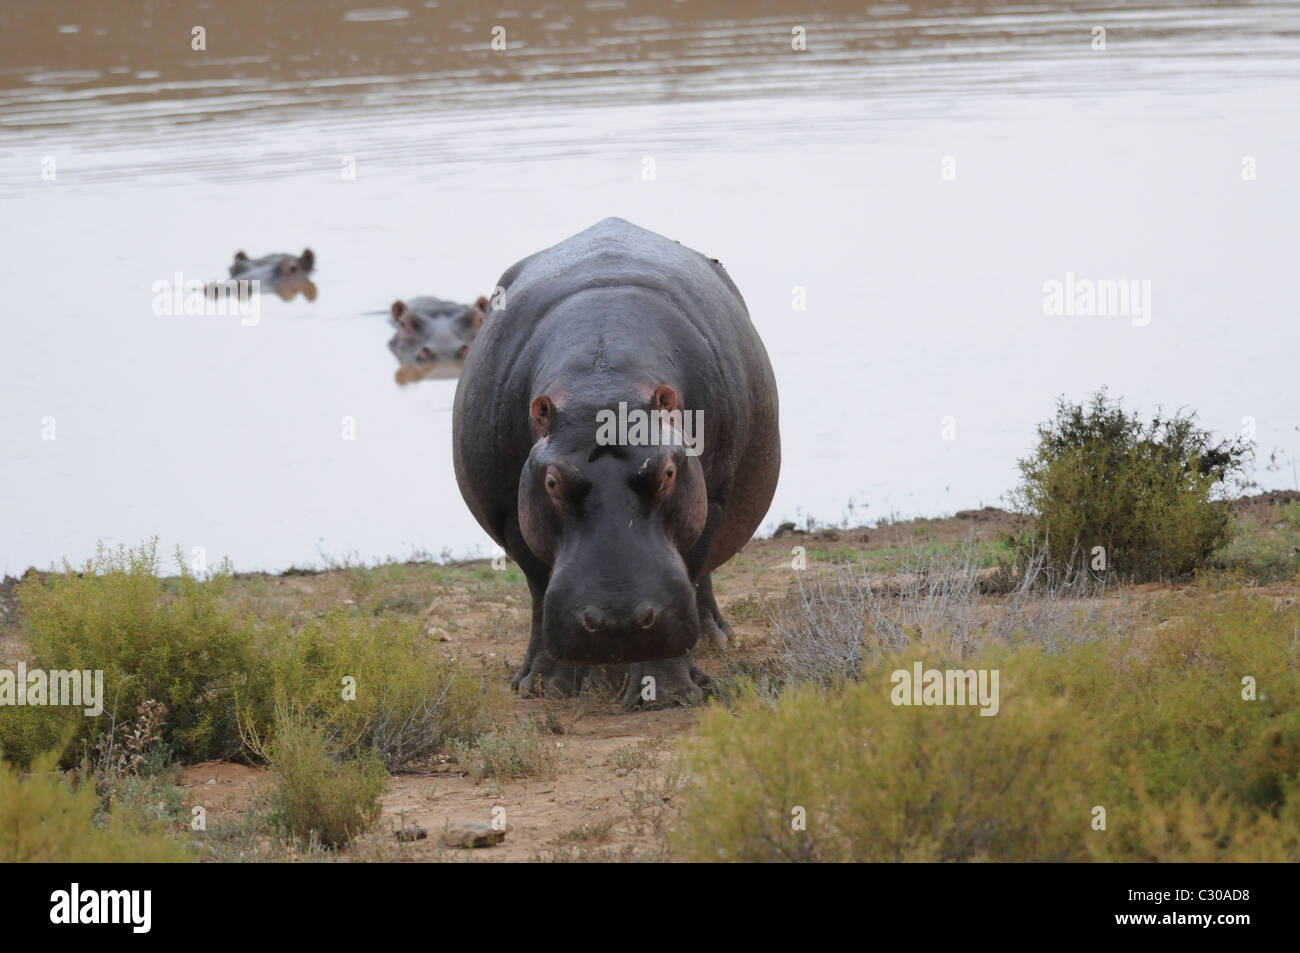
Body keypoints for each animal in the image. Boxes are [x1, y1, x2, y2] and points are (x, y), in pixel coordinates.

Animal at [452, 217, 780, 708]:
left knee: (701, 578)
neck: (601, 380)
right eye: (552, 483)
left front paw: (668, 693)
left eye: (667, 472)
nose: (618, 620)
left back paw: (714, 639)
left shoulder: (712, 497)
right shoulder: (511, 513)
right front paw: (543, 687)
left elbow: (691, 566)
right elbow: (538, 588)